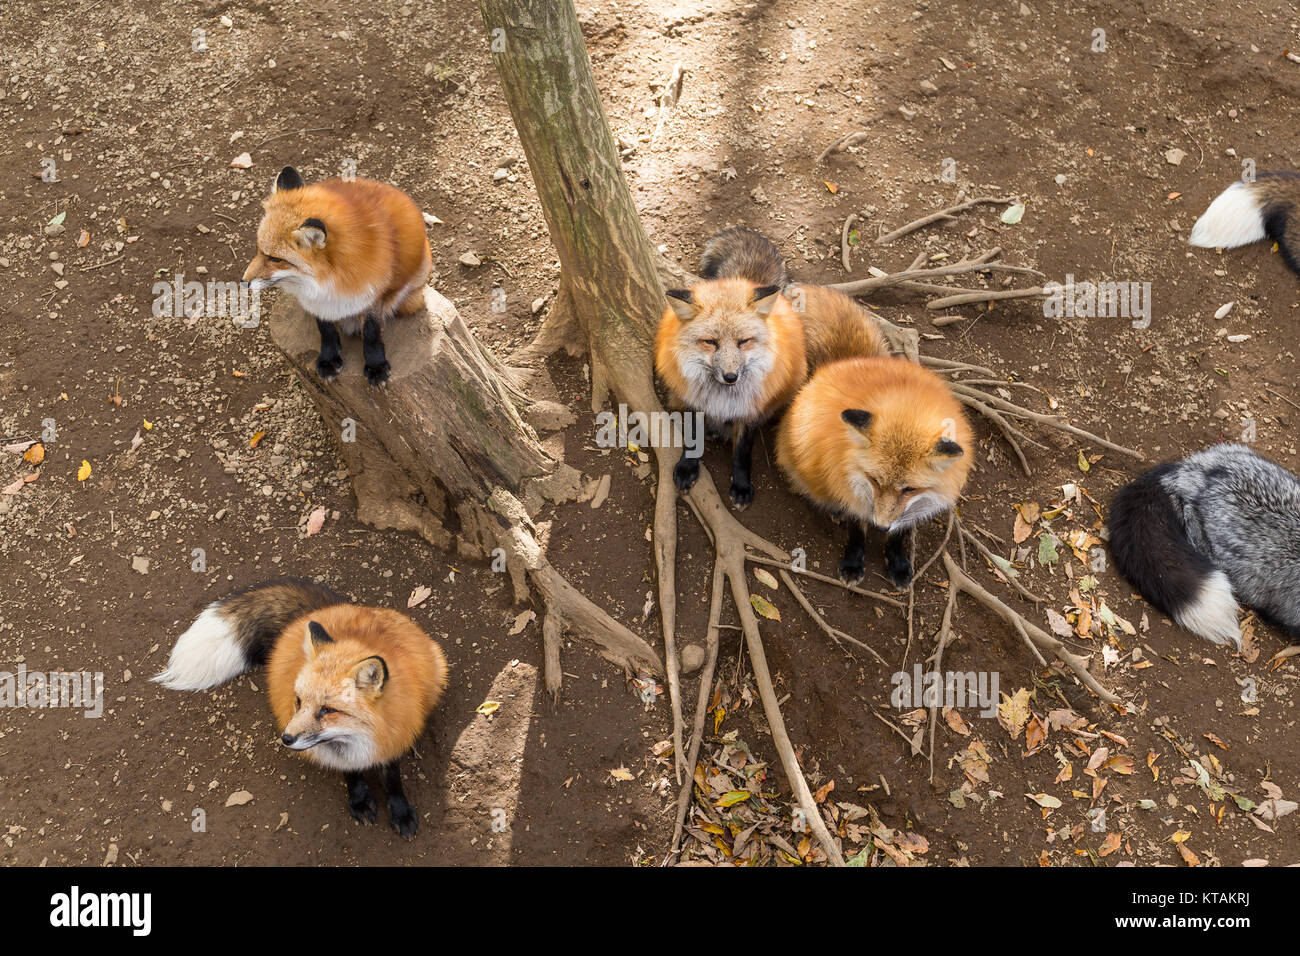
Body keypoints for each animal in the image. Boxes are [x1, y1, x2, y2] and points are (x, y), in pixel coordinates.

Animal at [153, 579, 449, 838]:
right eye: (299, 701)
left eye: (328, 710)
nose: (286, 738)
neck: (357, 741)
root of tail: (324, 610)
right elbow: (350, 775)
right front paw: (359, 799)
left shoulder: (395, 735)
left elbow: (393, 781)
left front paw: (401, 812)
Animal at [242, 166, 434, 387]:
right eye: (258, 249)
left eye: (274, 258)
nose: (243, 282)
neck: (329, 278)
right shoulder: (316, 299)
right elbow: (326, 329)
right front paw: (329, 359)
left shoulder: (372, 293)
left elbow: (371, 332)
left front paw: (376, 365)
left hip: (411, 294)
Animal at [655, 227, 886, 508]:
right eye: (710, 342)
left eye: (744, 341)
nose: (731, 377)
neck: (723, 397)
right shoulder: (694, 403)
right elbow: (692, 439)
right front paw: (688, 467)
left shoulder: (751, 411)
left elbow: (742, 454)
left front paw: (741, 485)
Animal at [776, 356, 972, 588]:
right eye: (875, 480)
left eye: (909, 489)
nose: (881, 527)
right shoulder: (847, 485)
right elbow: (856, 532)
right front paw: (852, 564)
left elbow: (898, 533)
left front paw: (897, 563)